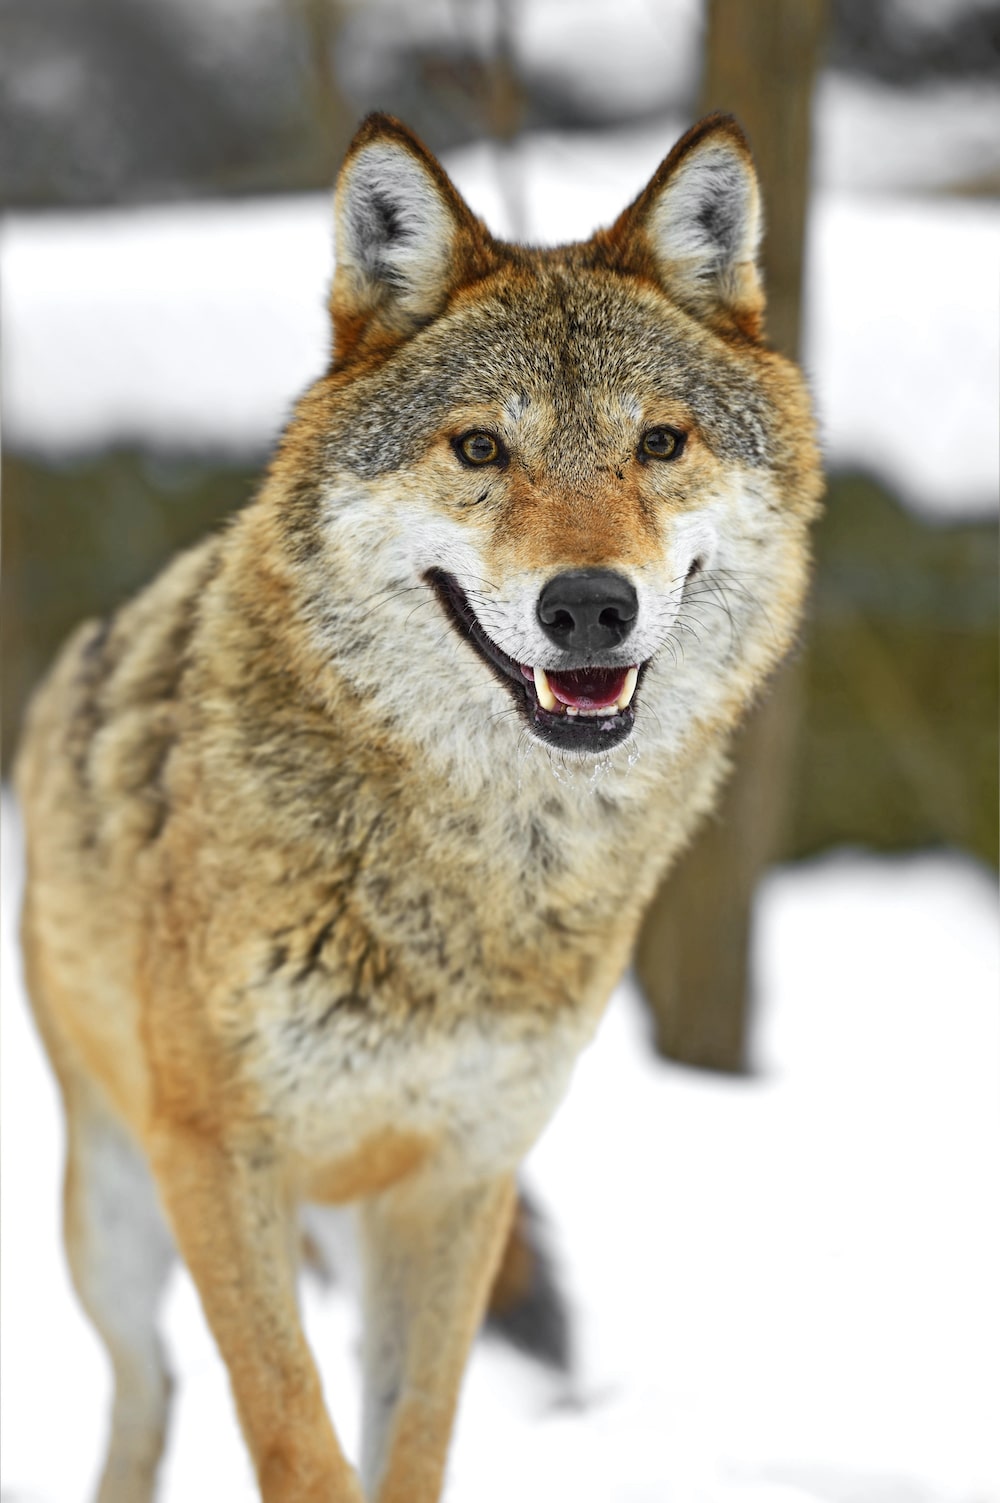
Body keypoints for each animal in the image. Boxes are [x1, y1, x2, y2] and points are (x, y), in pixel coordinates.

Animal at [16, 112, 821, 1502]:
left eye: (659, 444)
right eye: (480, 448)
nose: (588, 606)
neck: (471, 885)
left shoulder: (461, 1178)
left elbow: (414, 1440)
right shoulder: (217, 1157)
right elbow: (295, 1436)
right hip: (114, 1212)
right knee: (148, 1382)